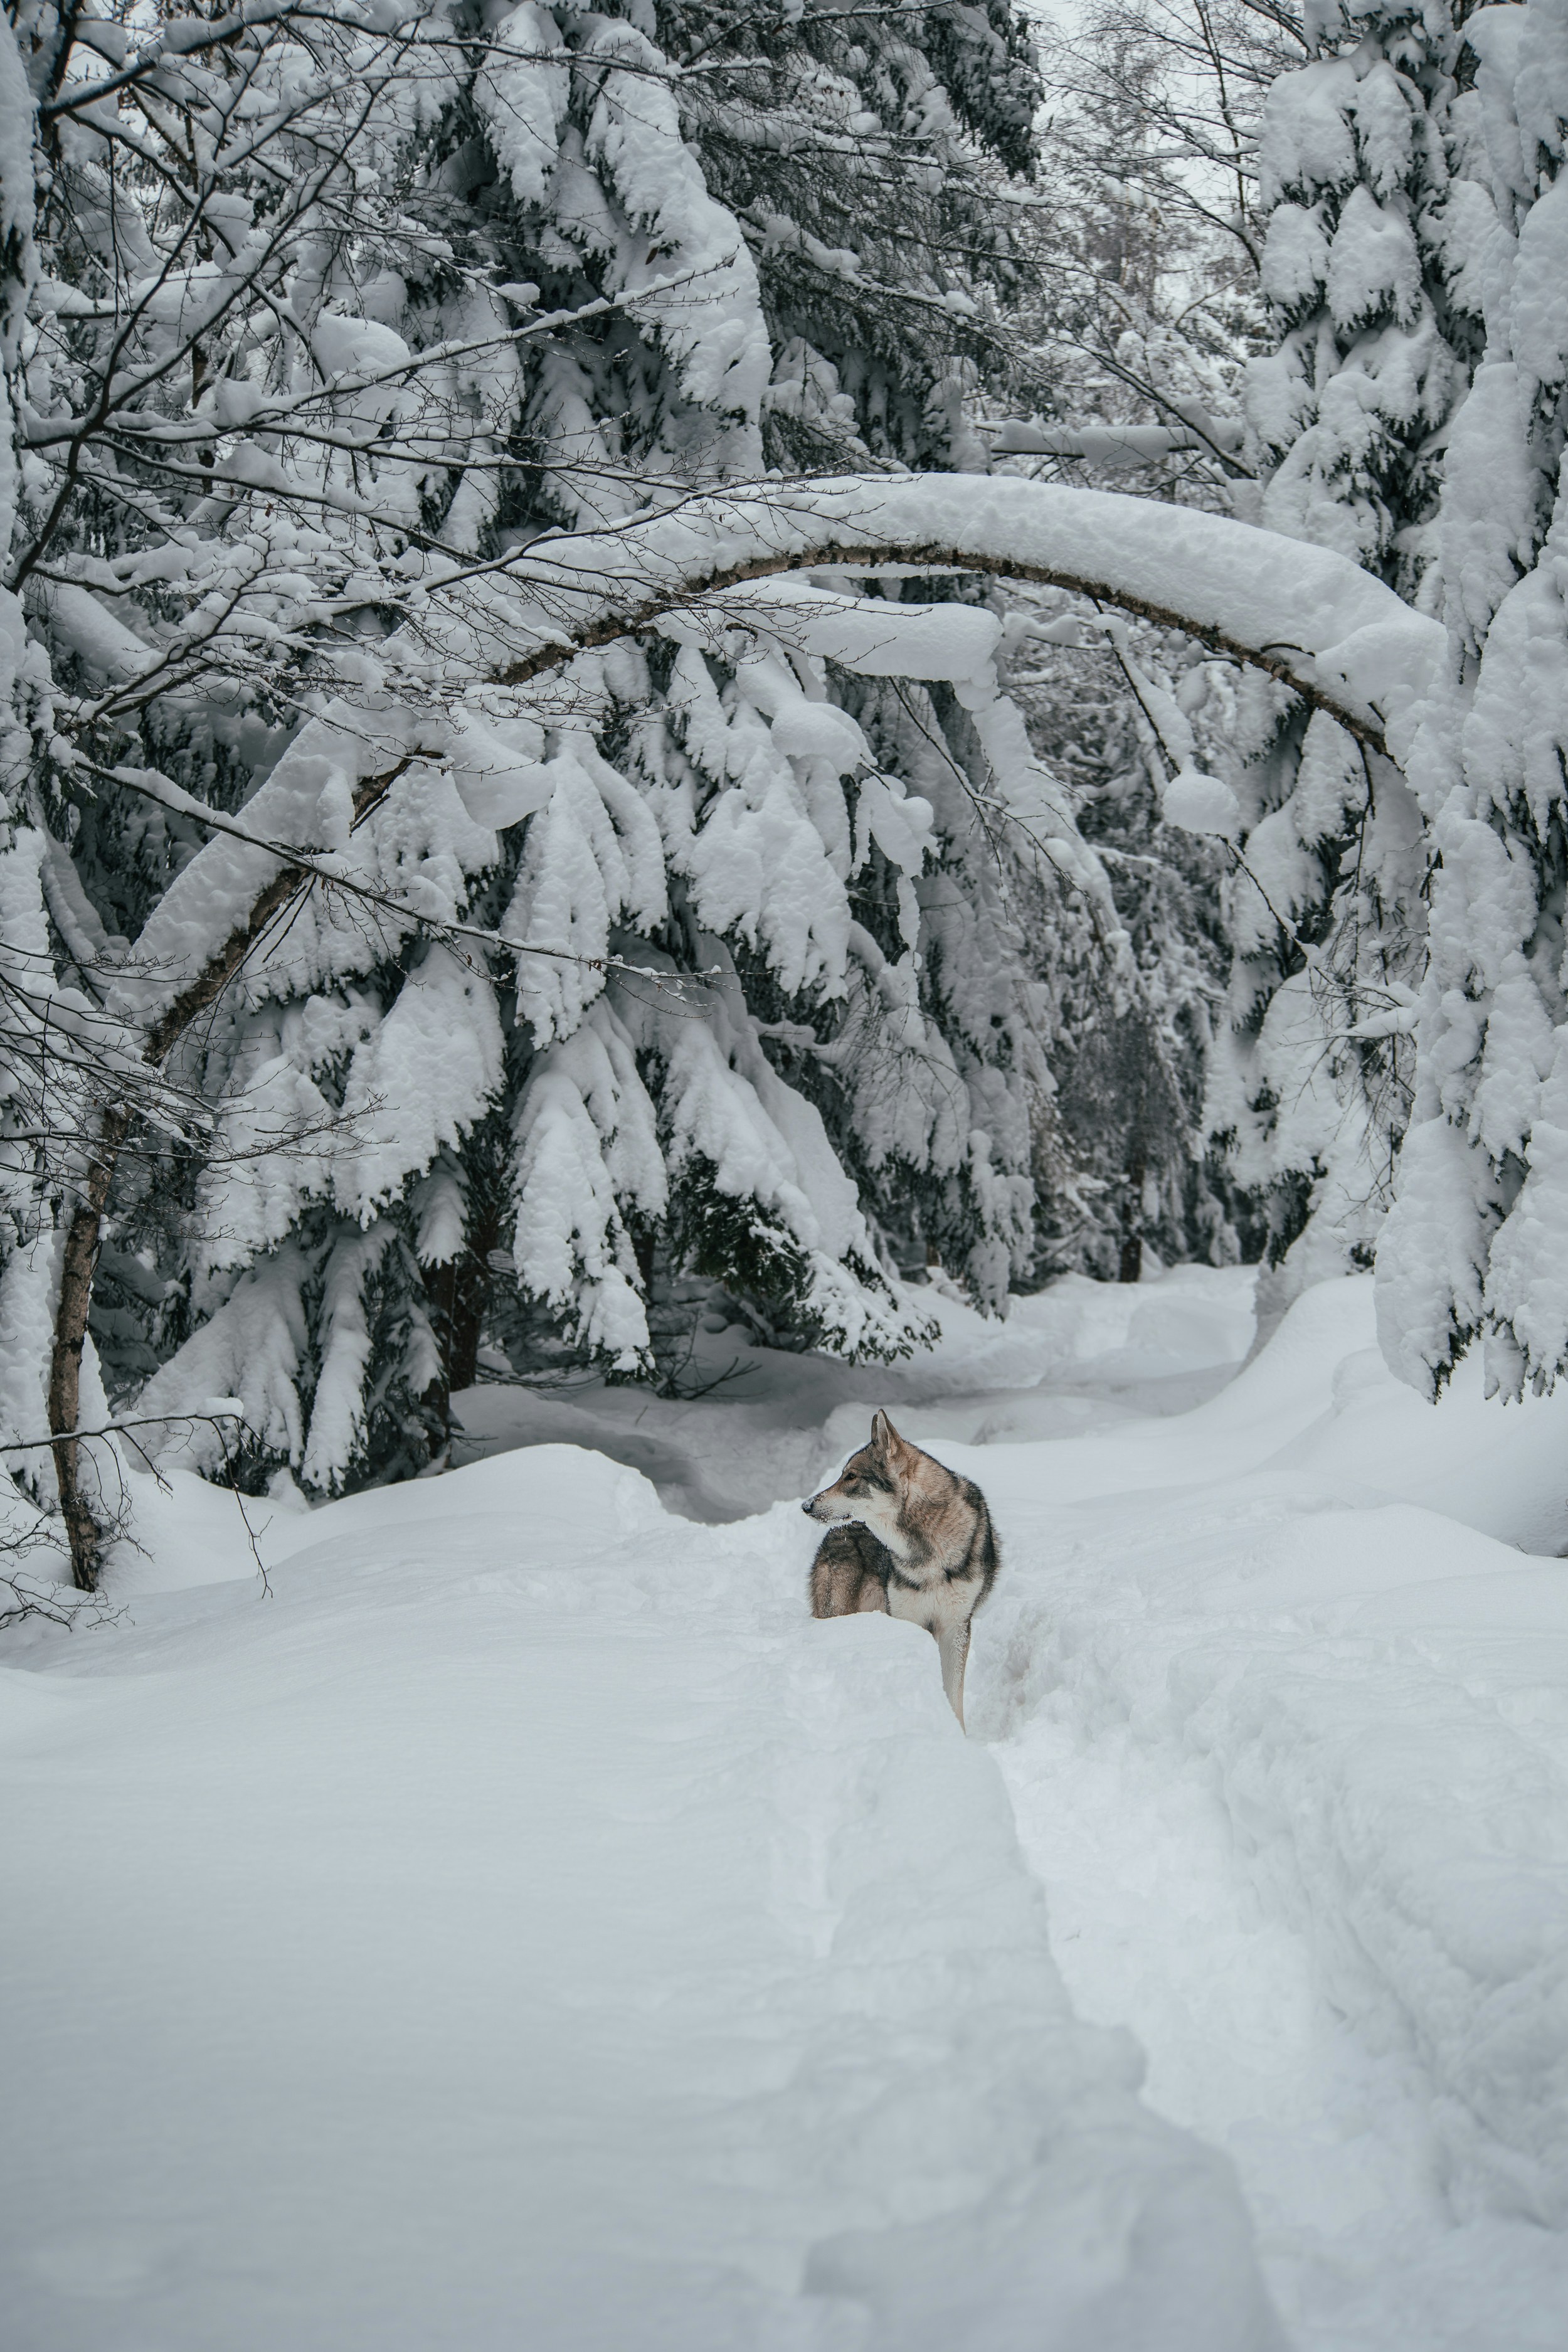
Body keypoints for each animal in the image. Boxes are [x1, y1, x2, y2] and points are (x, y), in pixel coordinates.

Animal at [802, 1411, 999, 1729]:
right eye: (842, 1475)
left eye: (851, 1476)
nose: (806, 1506)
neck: (928, 1549)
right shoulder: (908, 1618)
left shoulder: (955, 1628)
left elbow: (954, 1696)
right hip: (840, 1611)